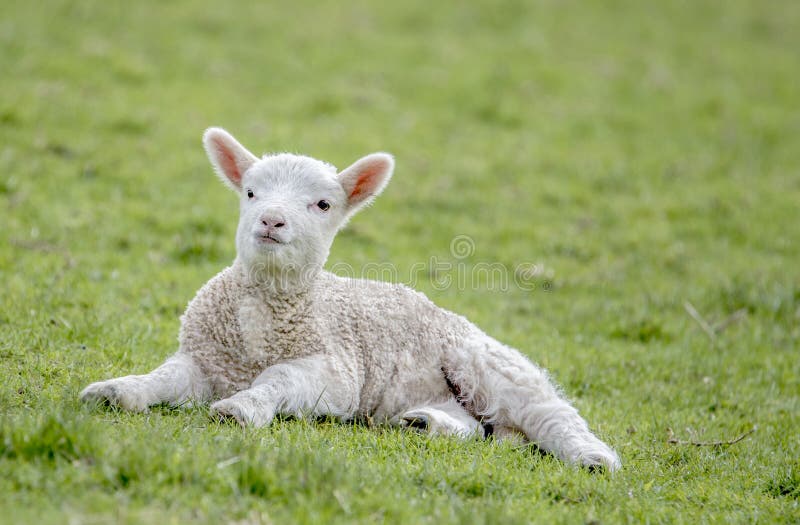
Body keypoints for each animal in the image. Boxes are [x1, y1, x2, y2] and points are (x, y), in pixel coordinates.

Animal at [80, 127, 622, 472]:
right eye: (250, 192)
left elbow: (278, 381)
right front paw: (116, 391)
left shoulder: (332, 373)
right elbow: (162, 378)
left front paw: (241, 409)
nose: (271, 220)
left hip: (485, 363)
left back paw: (593, 458)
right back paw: (424, 423)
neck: (265, 319)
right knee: (473, 426)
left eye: (323, 204)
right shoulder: (203, 358)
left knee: (548, 411)